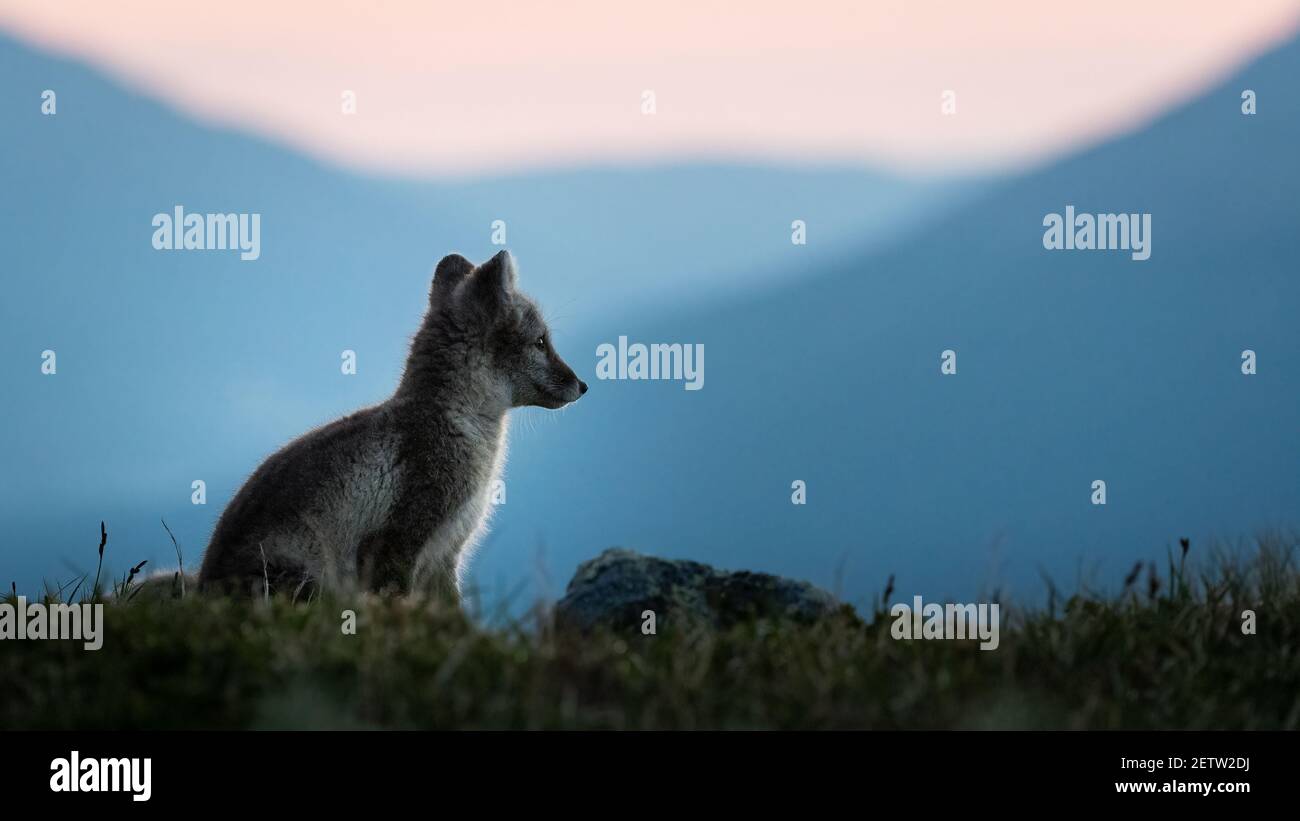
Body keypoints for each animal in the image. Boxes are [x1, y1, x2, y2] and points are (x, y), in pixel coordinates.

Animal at [196, 250, 585, 600]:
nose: (583, 386)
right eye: (541, 341)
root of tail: (203, 588)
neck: (454, 420)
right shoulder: (397, 542)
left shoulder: (446, 554)